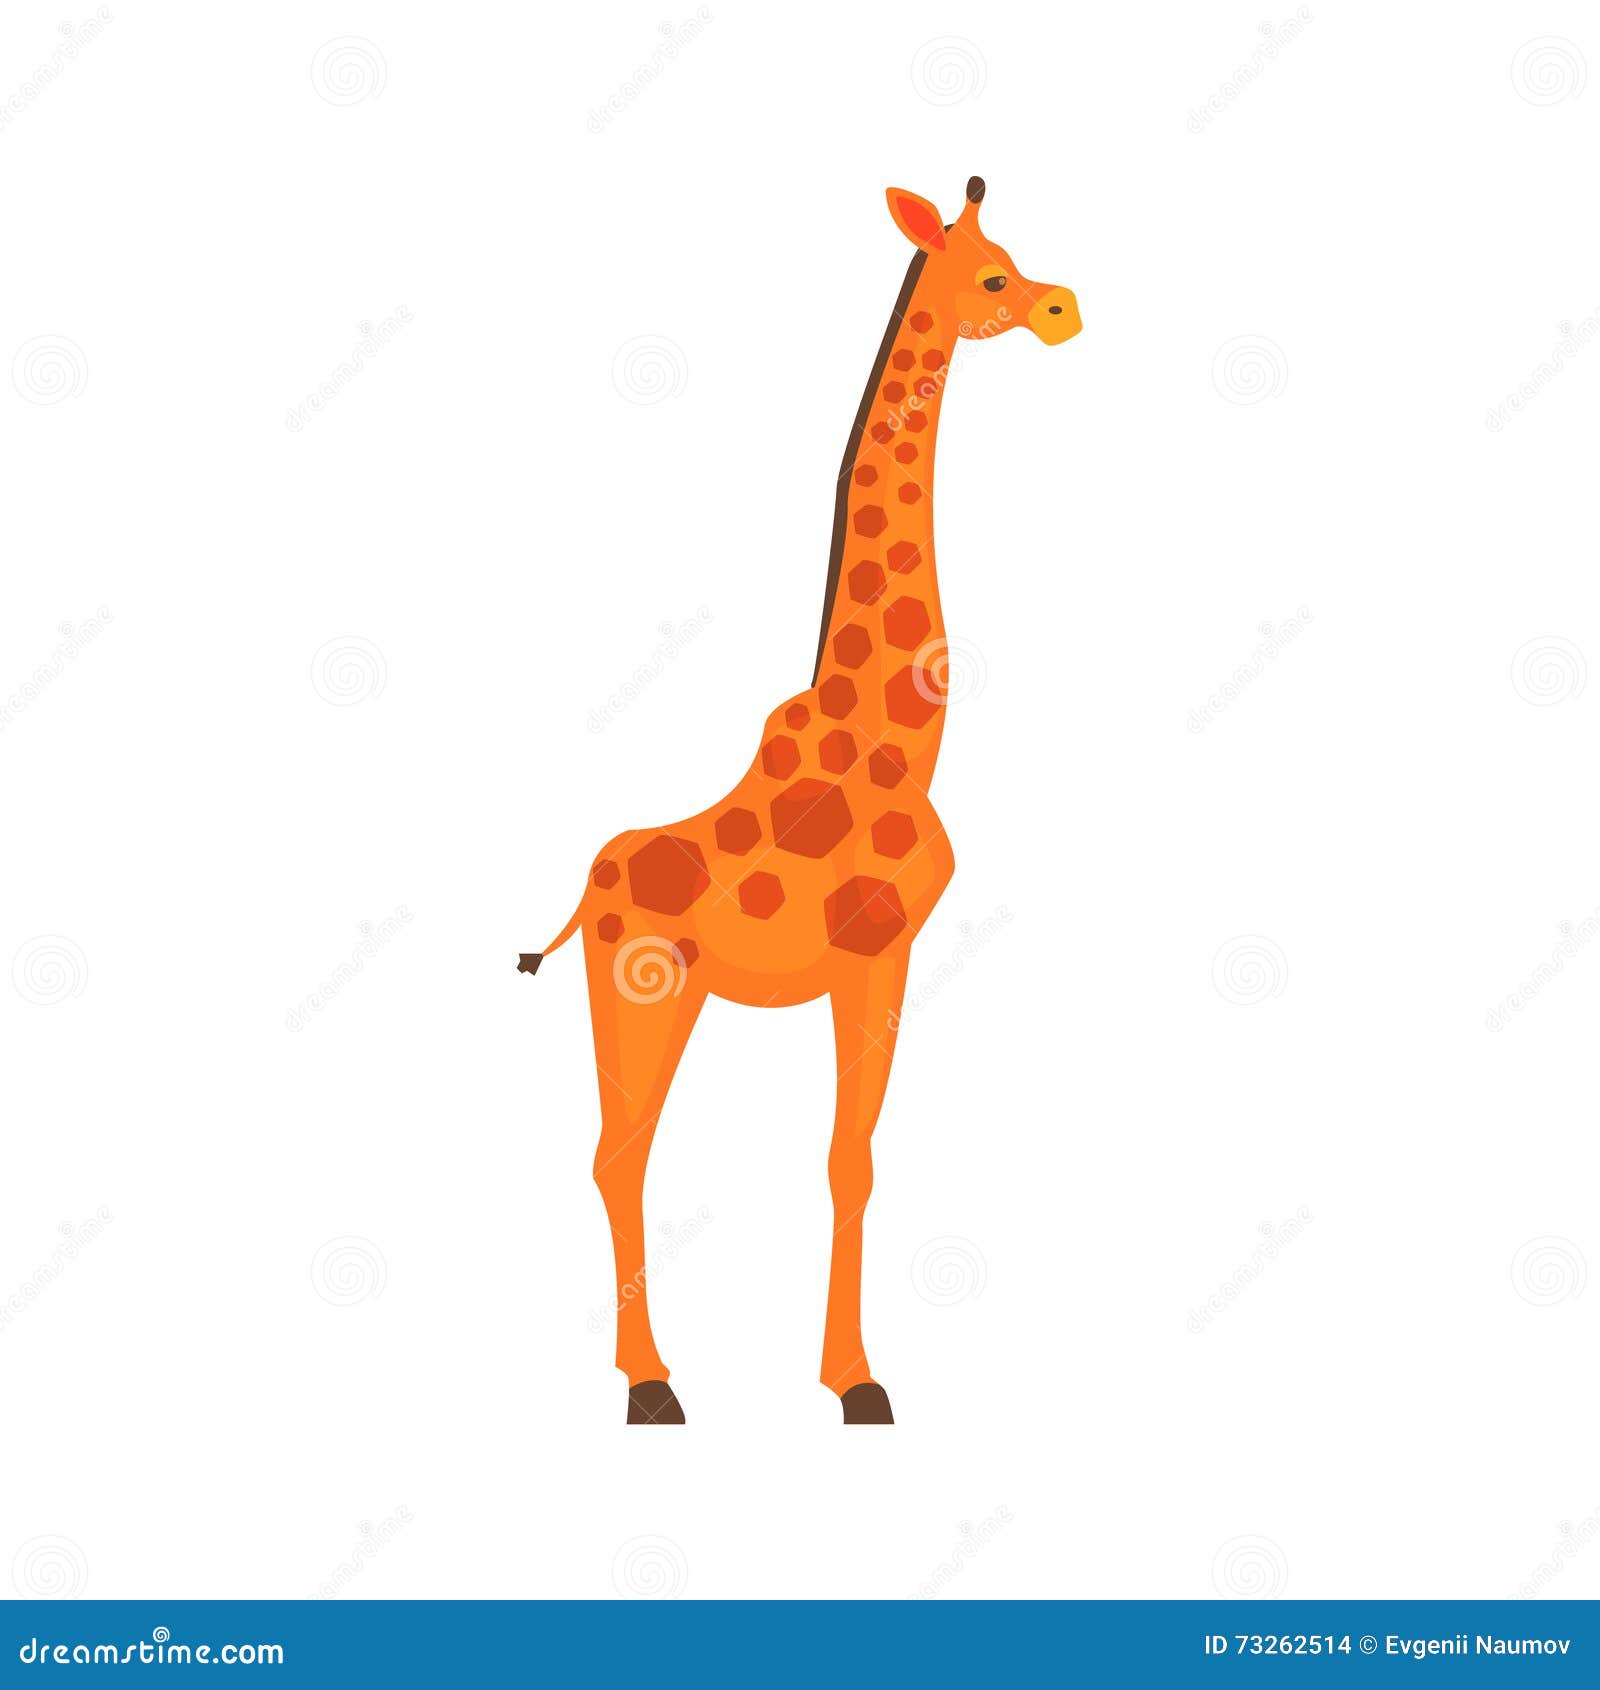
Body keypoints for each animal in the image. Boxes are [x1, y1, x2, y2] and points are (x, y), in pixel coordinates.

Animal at [521, 178, 1080, 1424]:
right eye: (992, 274)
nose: (1062, 308)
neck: (898, 736)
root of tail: (587, 892)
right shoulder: (878, 947)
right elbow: (849, 1157)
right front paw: (859, 1384)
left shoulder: (873, 960)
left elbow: (845, 1155)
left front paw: (842, 1374)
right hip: (642, 994)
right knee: (619, 1152)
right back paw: (651, 1385)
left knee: (616, 1151)